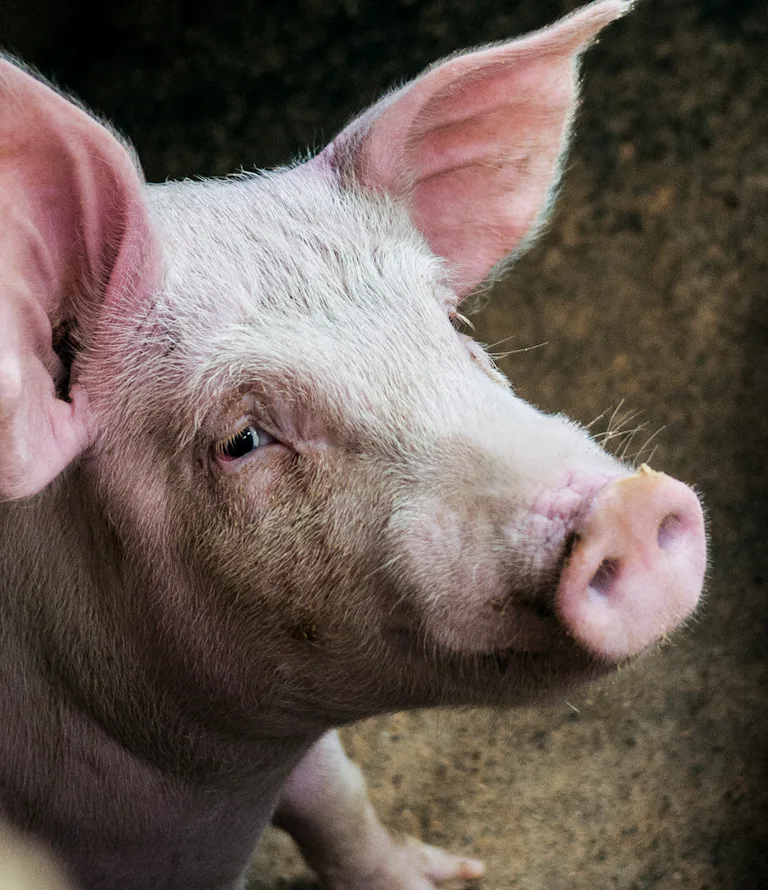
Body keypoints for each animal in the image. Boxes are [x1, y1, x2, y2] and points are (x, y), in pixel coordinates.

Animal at [0, 1, 707, 888]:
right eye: (243, 439)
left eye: (455, 324)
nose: (630, 505)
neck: (205, 799)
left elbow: (335, 791)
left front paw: (454, 874)